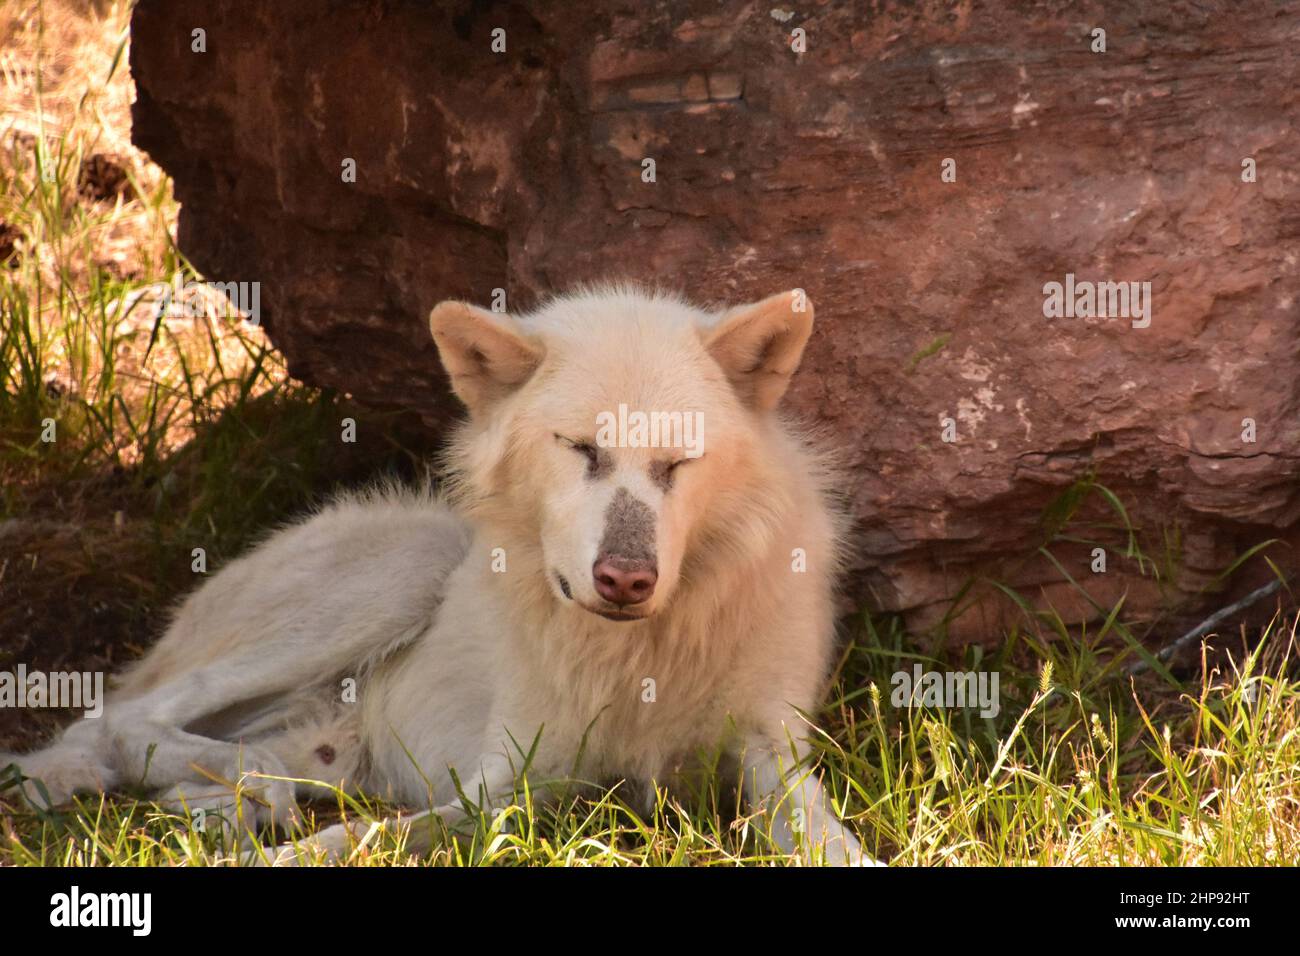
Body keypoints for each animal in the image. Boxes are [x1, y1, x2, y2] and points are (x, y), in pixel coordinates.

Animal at [1, 285, 875, 865]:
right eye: (580, 449)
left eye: (678, 462)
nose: (626, 580)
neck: (642, 658)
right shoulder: (511, 782)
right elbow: (360, 838)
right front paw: (271, 856)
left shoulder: (772, 752)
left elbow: (828, 835)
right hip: (408, 565)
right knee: (124, 719)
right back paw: (237, 795)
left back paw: (231, 799)